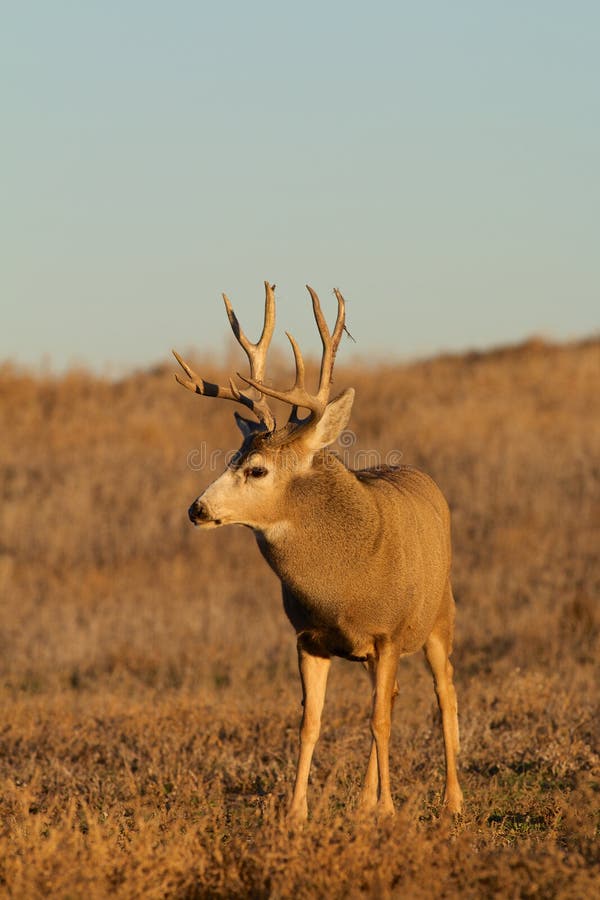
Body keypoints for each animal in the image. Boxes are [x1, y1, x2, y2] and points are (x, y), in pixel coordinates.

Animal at [173, 281, 463, 821]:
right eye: (230, 459)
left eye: (257, 469)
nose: (197, 509)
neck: (340, 589)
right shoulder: (307, 637)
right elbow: (311, 723)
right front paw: (297, 812)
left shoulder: (388, 633)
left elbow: (380, 722)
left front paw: (389, 811)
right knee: (392, 696)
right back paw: (364, 802)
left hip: (439, 618)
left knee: (444, 692)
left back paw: (452, 801)